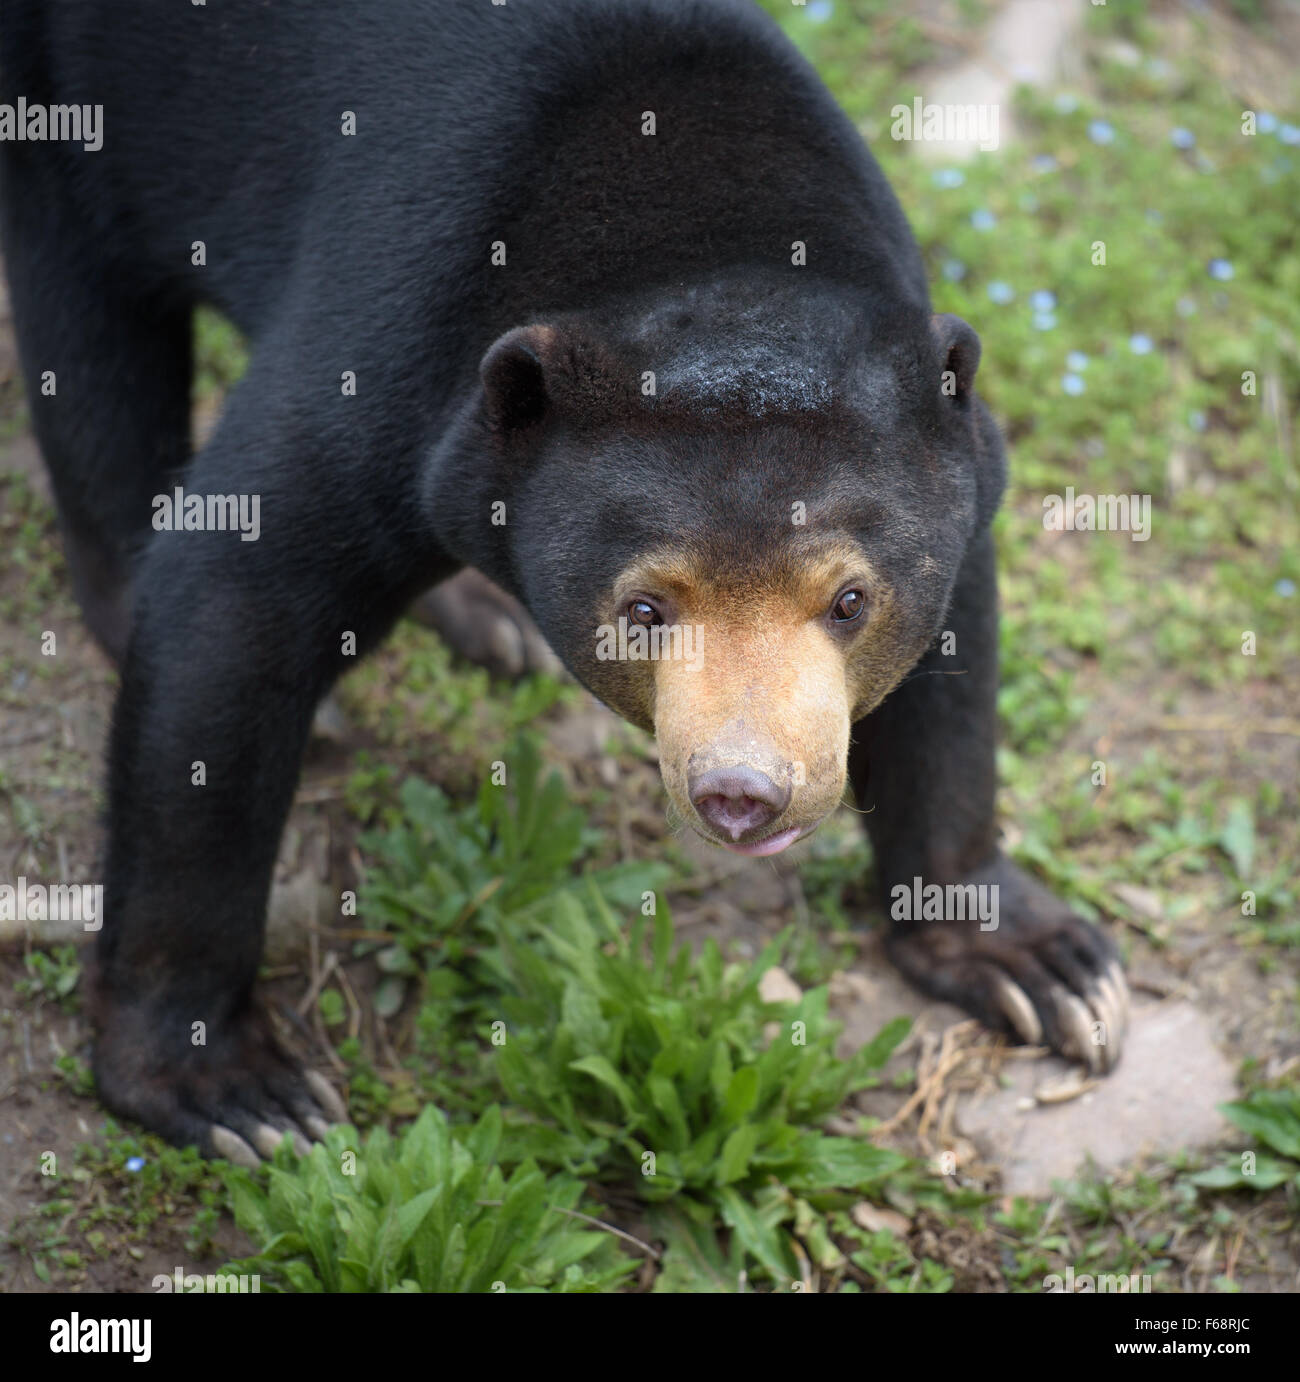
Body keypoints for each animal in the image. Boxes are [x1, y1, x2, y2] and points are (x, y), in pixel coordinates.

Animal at [0, 0, 1127, 1164]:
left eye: (851, 601)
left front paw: (1046, 968)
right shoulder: (394, 339)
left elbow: (953, 668)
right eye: (645, 608)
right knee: (90, 333)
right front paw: (236, 1091)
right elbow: (232, 604)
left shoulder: (958, 465)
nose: (743, 794)